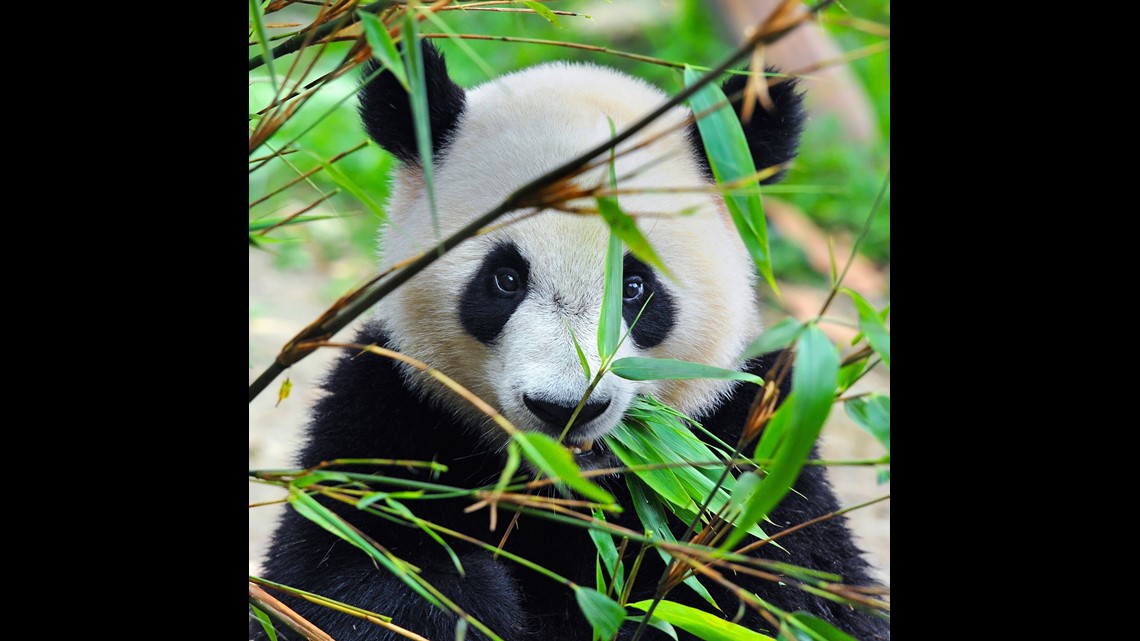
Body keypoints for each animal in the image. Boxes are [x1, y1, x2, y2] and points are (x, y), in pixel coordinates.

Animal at [253, 41, 889, 641]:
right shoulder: (387, 413)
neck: (566, 485)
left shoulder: (751, 447)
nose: (564, 408)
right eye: (505, 279)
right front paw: (465, 601)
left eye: (635, 287)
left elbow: (796, 593)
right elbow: (346, 576)